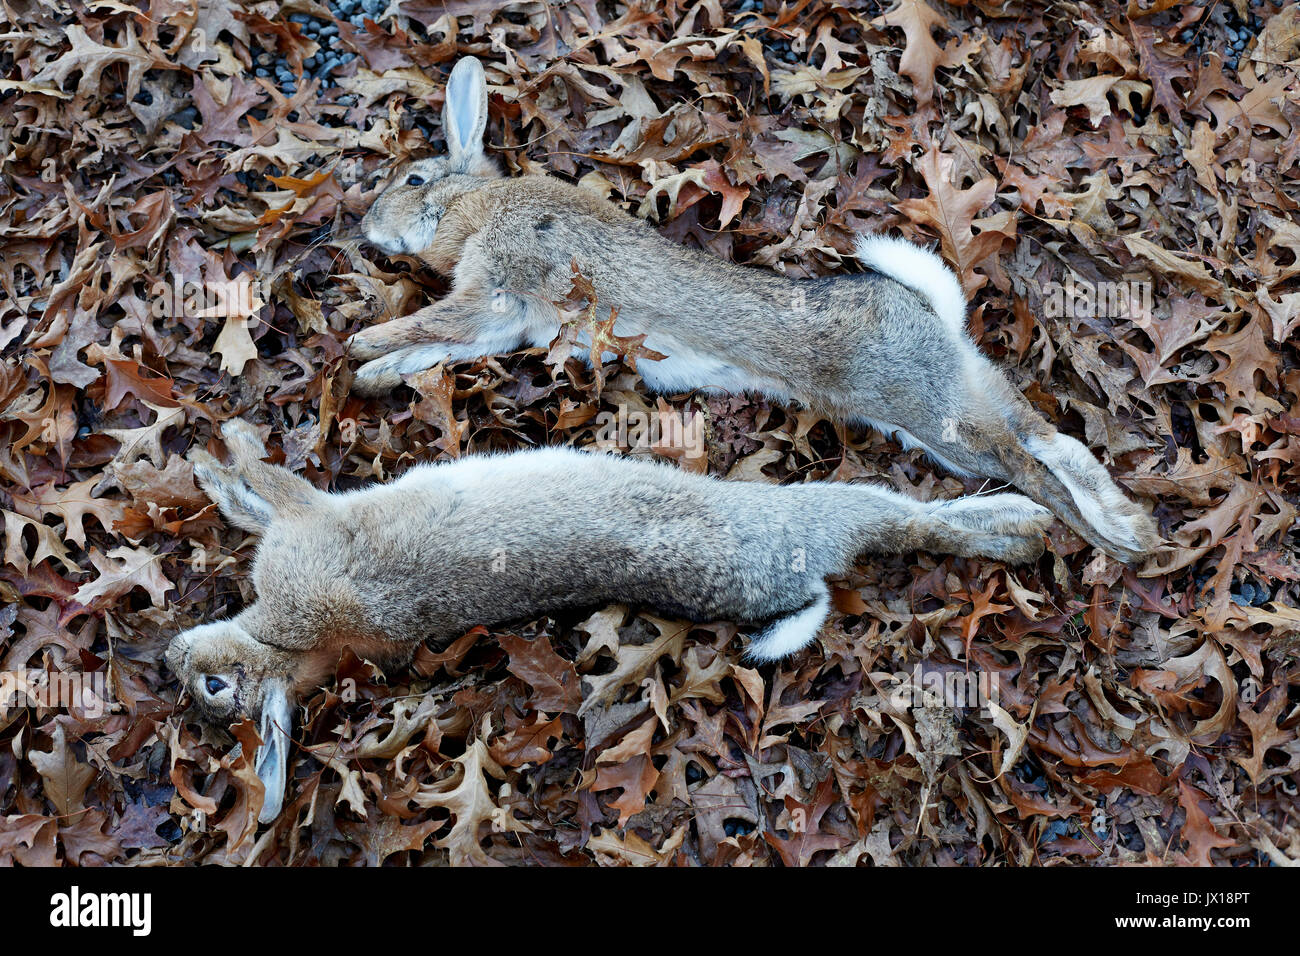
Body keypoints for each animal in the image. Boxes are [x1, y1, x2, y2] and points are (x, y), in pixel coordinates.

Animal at [167, 418, 1052, 823]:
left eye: (213, 688)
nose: (170, 658)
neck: (287, 642)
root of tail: (802, 573)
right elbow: (260, 490)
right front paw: (218, 457)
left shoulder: (308, 525)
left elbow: (260, 486)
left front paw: (218, 453)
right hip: (811, 518)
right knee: (908, 524)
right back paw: (1021, 526)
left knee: (912, 520)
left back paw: (1023, 518)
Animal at [349, 56, 1160, 564]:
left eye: (414, 178)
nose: (367, 228)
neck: (476, 208)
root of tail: (934, 316)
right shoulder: (505, 321)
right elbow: (439, 347)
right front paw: (376, 374)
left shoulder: (497, 286)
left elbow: (431, 324)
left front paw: (362, 345)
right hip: (951, 406)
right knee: (1050, 438)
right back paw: (1132, 525)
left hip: (936, 418)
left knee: (1029, 464)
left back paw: (1102, 539)